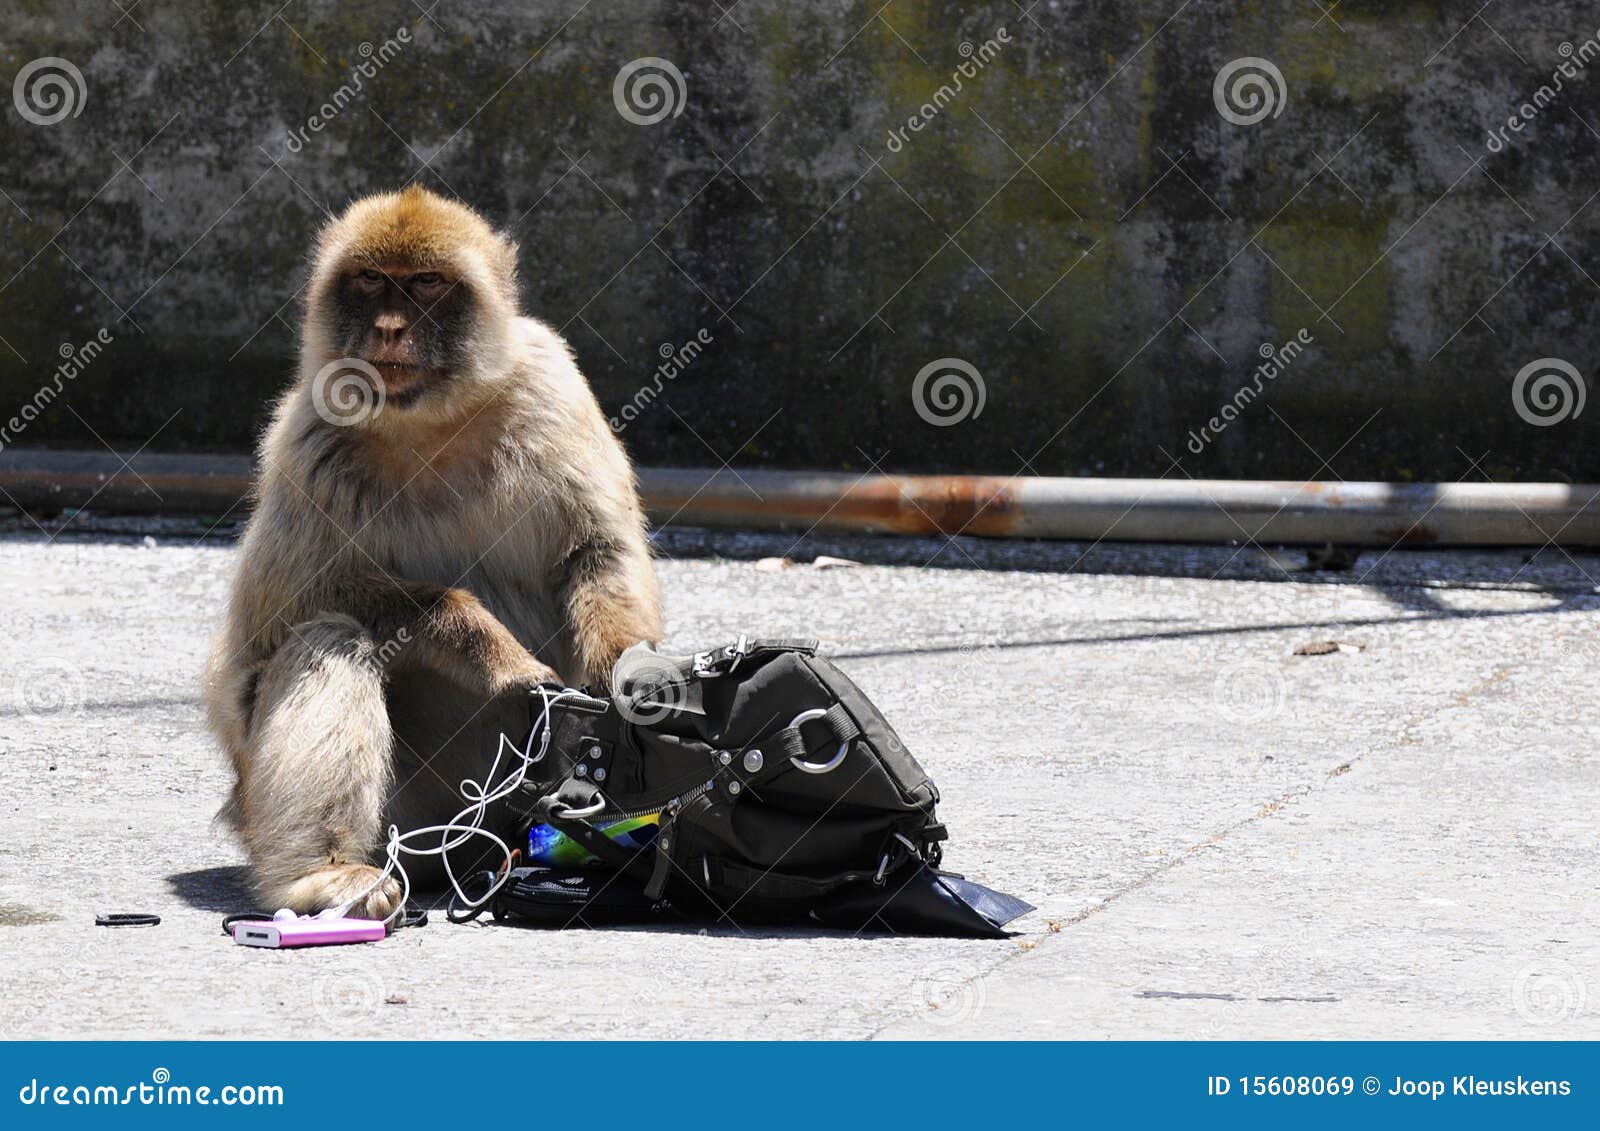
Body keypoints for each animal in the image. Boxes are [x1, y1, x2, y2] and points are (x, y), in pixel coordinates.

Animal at [204, 186, 662, 921]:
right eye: (369, 280)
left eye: (425, 283)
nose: (390, 327)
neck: (429, 424)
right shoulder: (305, 439)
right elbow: (282, 614)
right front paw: (492, 652)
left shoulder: (552, 385)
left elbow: (597, 550)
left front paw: (627, 672)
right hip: (399, 816)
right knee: (330, 637)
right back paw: (325, 874)